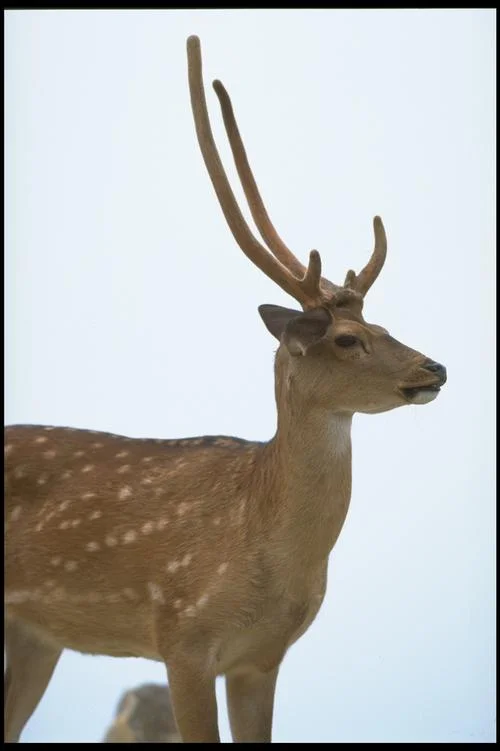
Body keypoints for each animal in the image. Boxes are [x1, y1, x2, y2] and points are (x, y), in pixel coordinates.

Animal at [4, 35, 447, 744]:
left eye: (383, 324)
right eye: (347, 339)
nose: (435, 369)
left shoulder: (261, 658)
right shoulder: (181, 634)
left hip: (37, 635)